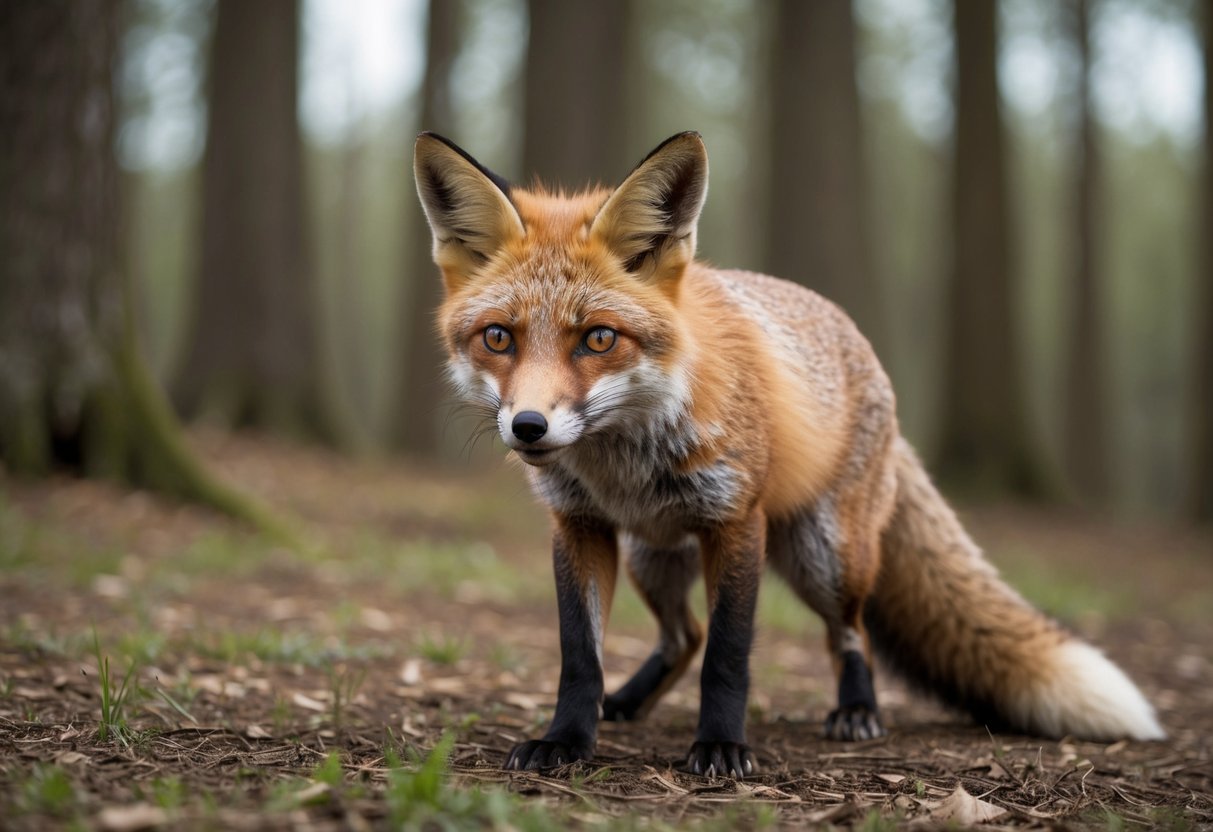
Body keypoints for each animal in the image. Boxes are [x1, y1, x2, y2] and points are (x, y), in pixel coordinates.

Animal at [412, 130, 1165, 778]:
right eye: (499, 338)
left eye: (598, 339)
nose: (529, 427)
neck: (622, 463)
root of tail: (862, 347)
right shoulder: (579, 526)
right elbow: (581, 655)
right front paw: (568, 738)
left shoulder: (736, 523)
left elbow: (729, 656)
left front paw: (720, 747)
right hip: (656, 555)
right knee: (681, 634)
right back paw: (624, 703)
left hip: (824, 556)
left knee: (847, 633)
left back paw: (857, 711)